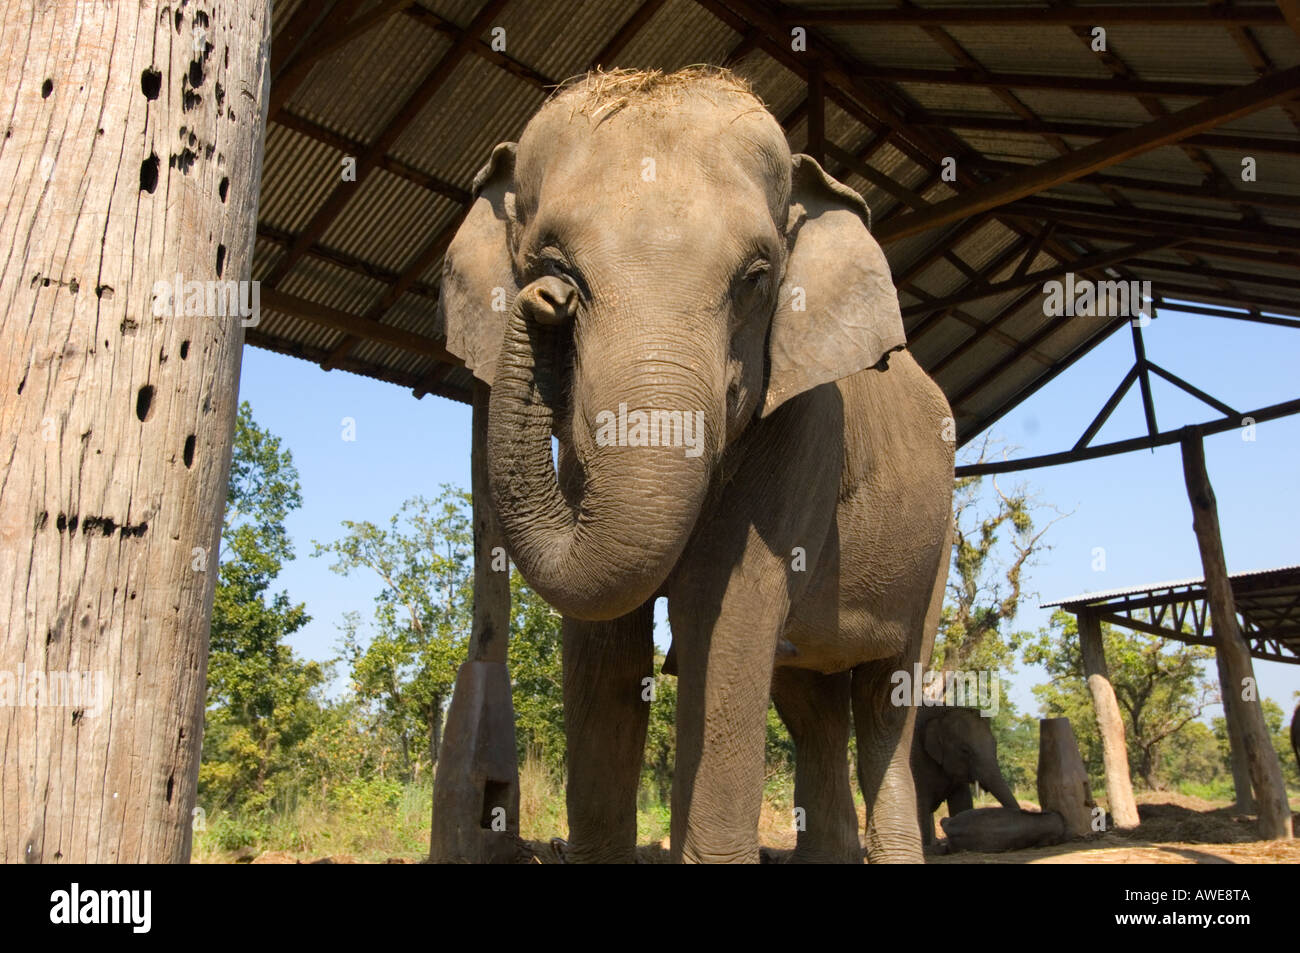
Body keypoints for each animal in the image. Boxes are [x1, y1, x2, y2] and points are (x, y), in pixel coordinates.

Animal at [438, 67, 953, 863]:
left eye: (756, 278)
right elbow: (602, 632)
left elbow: (725, 604)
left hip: (938, 541)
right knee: (810, 701)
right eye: (553, 265)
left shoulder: (808, 426)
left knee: (885, 701)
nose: (546, 299)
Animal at [911, 705, 1019, 847]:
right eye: (965, 750)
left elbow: (962, 803)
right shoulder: (917, 761)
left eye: (995, 745)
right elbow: (920, 805)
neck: (941, 713)